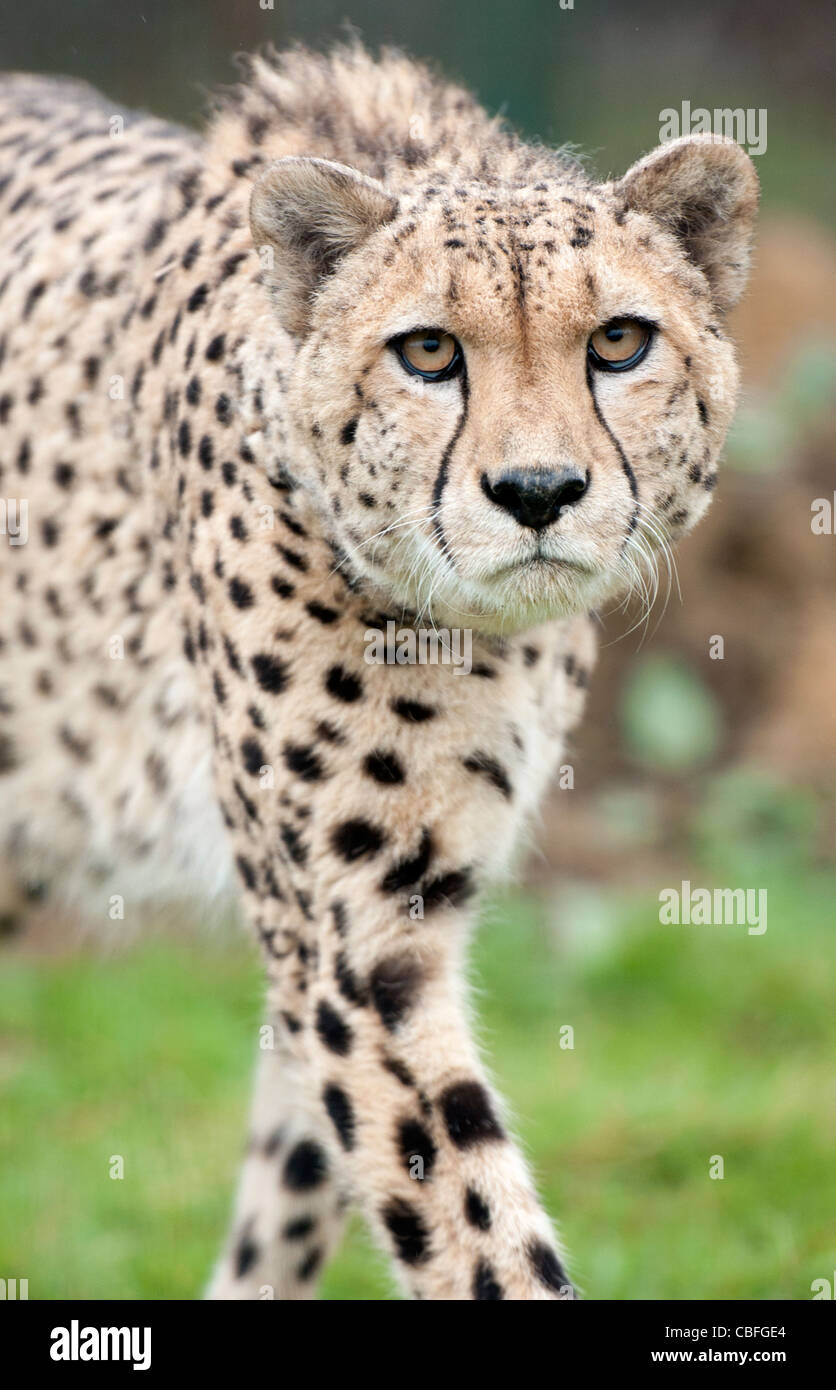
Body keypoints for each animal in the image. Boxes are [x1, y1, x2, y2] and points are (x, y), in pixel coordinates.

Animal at [0, 42, 758, 1300]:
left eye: (617, 341)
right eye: (427, 351)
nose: (538, 492)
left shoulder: (374, 925)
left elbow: (305, 1186)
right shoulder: (353, 942)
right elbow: (474, 1221)